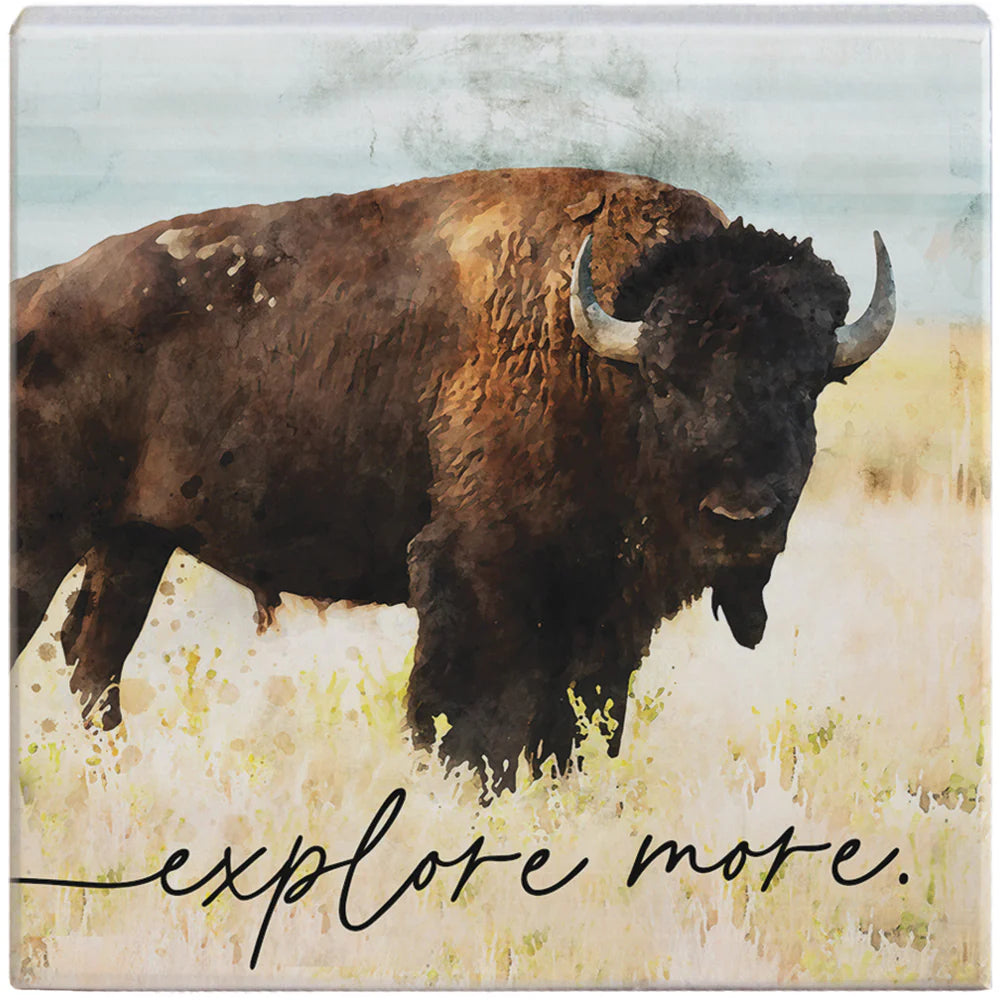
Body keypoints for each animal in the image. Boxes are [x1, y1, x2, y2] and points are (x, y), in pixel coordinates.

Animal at [13, 167, 895, 792]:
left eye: (807, 386)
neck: (598, 356)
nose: (742, 518)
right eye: (667, 381)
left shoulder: (607, 610)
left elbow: (577, 724)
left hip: (134, 543)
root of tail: (30, 297)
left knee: (94, 661)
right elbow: (473, 725)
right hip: (42, 544)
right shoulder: (478, 572)